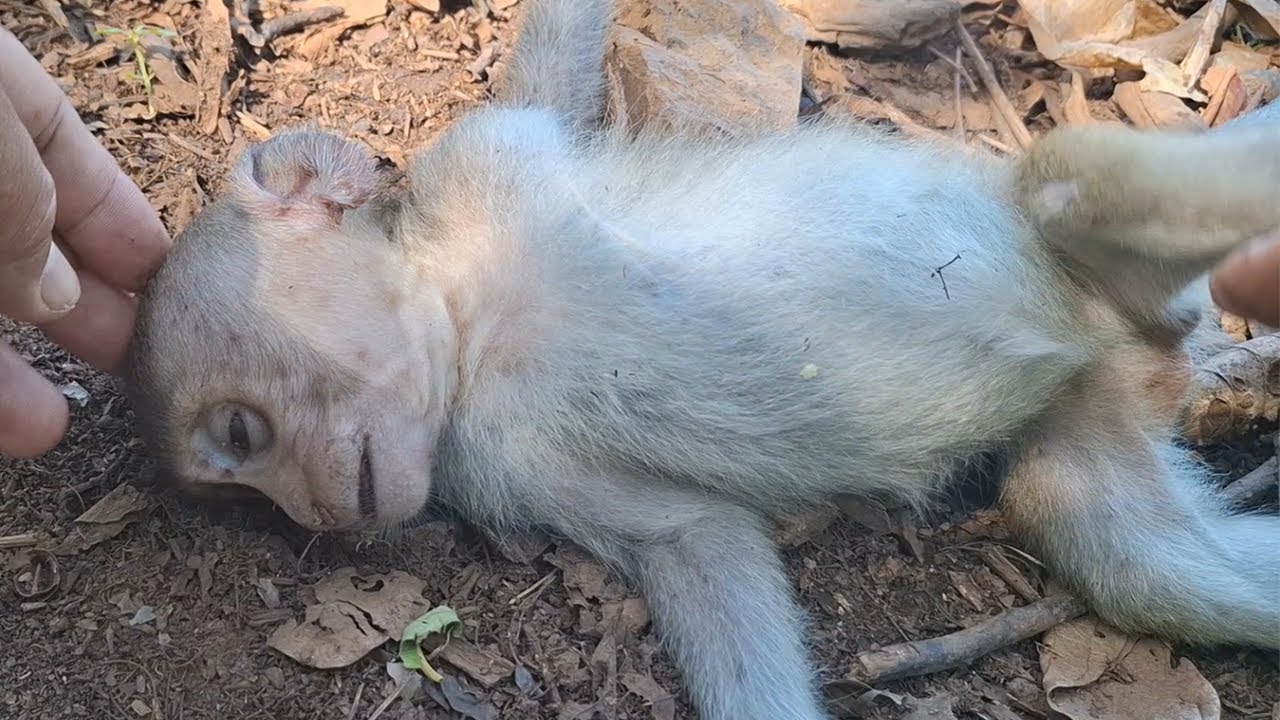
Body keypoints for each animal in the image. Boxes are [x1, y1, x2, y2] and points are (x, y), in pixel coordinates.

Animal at [122, 0, 1280, 717]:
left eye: (242, 435)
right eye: (251, 492)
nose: (313, 511)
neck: (470, 327)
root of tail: (1121, 343)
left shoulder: (479, 162)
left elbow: (548, 80)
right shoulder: (497, 465)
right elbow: (697, 537)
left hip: (1064, 237)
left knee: (1066, 178)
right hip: (1098, 407)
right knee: (1127, 550)